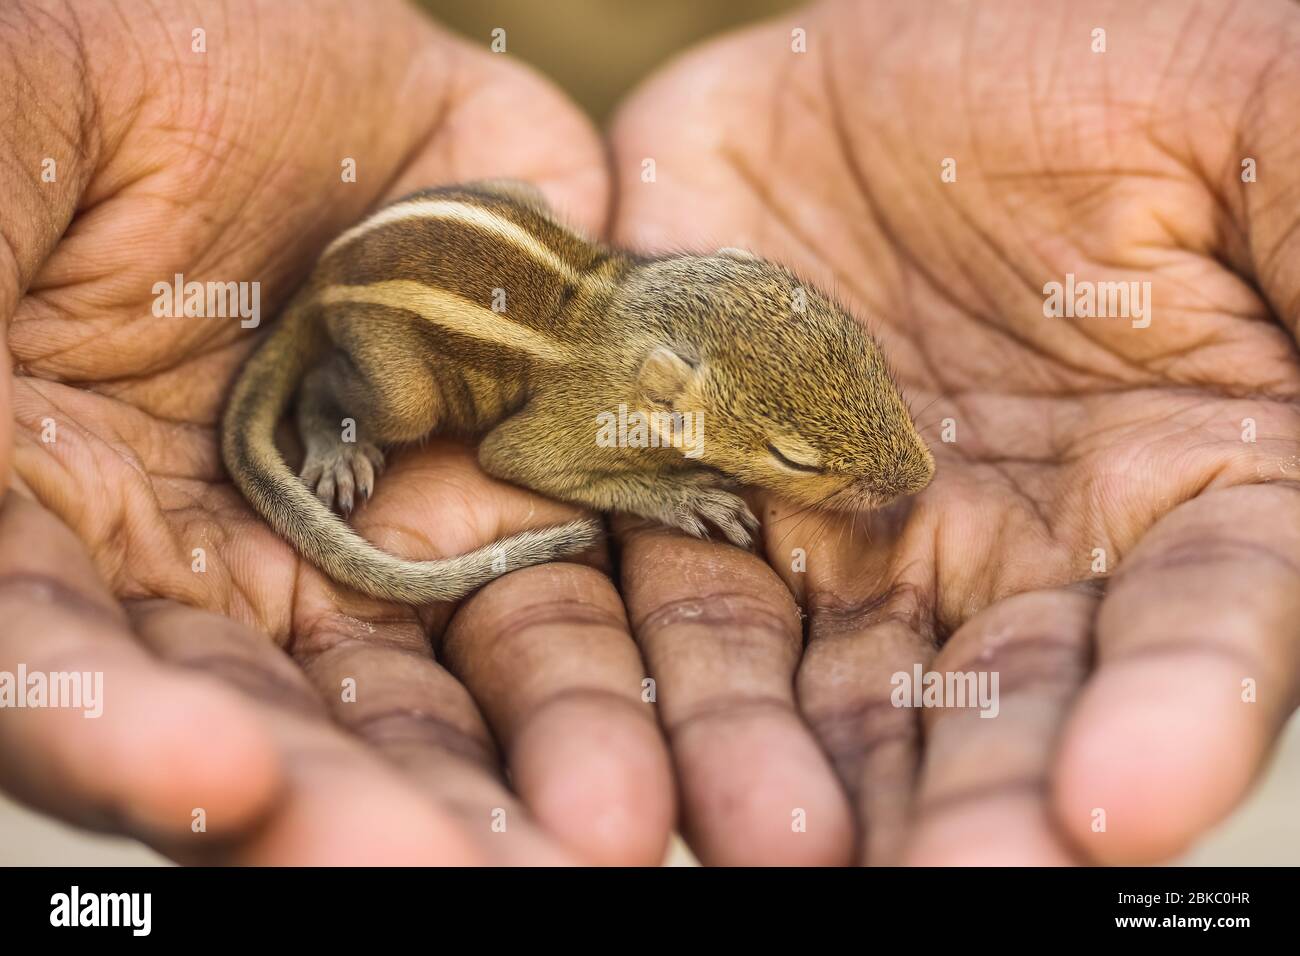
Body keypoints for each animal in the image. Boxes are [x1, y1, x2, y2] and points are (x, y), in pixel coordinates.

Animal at [220, 180, 935, 604]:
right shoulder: (569, 425)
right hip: (404, 391)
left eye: (872, 356)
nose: (923, 476)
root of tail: (322, 271)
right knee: (324, 382)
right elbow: (513, 458)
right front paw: (687, 497)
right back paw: (337, 450)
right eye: (794, 459)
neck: (619, 319)